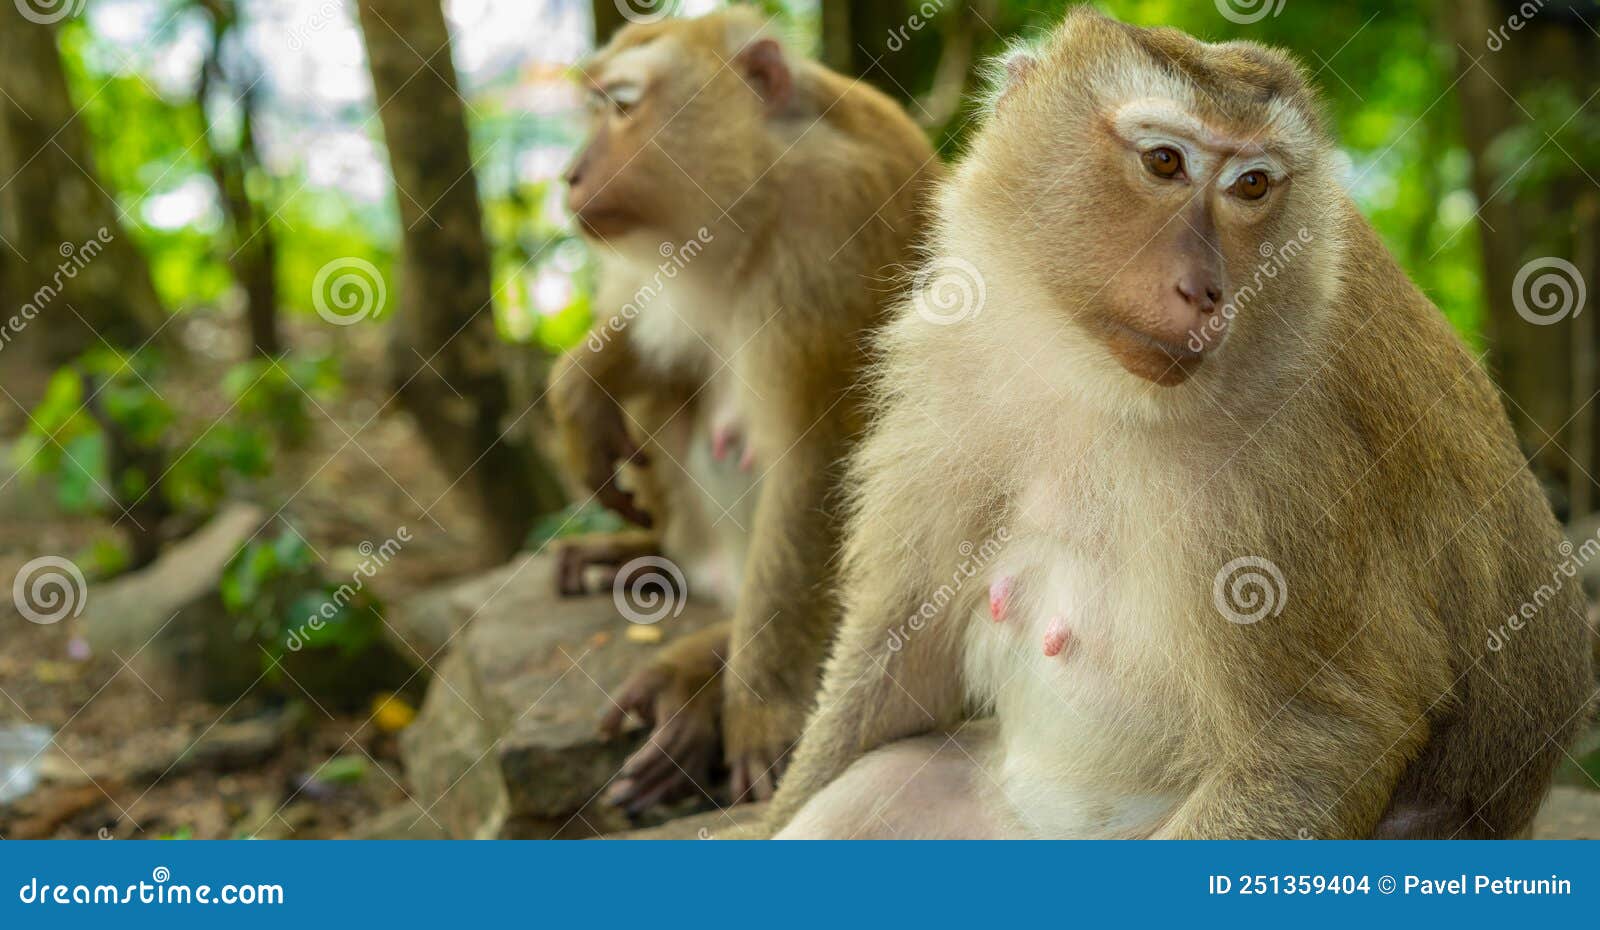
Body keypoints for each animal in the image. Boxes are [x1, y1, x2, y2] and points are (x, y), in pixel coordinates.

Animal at [548, 7, 942, 812]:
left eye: (622, 107)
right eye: (595, 109)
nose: (569, 175)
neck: (757, 191)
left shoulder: (835, 228)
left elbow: (823, 461)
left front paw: (758, 706)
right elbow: (656, 341)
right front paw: (580, 389)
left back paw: (702, 666)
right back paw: (643, 554)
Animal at [759, 8, 1596, 840]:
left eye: (1252, 185)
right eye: (1164, 162)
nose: (1206, 289)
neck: (1095, 384)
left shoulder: (1283, 465)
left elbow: (1322, 736)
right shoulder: (950, 365)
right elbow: (901, 646)